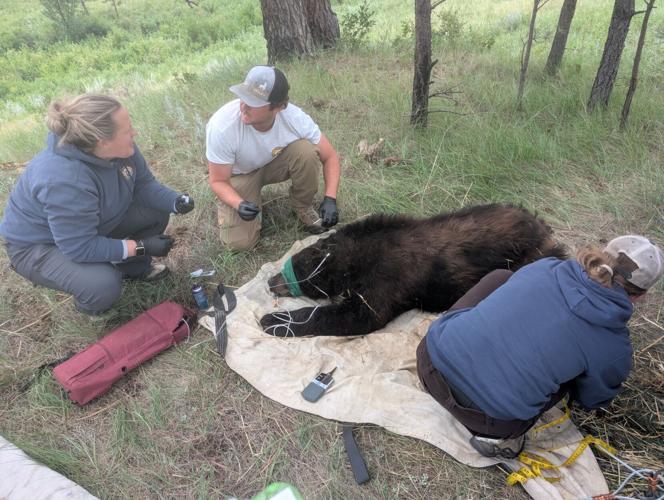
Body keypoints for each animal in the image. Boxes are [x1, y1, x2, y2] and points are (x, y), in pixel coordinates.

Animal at [261, 203, 567, 337]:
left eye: (294, 267)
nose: (270, 281)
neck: (357, 259)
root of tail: (544, 227)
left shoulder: (386, 281)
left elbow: (356, 316)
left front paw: (274, 320)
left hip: (531, 256)